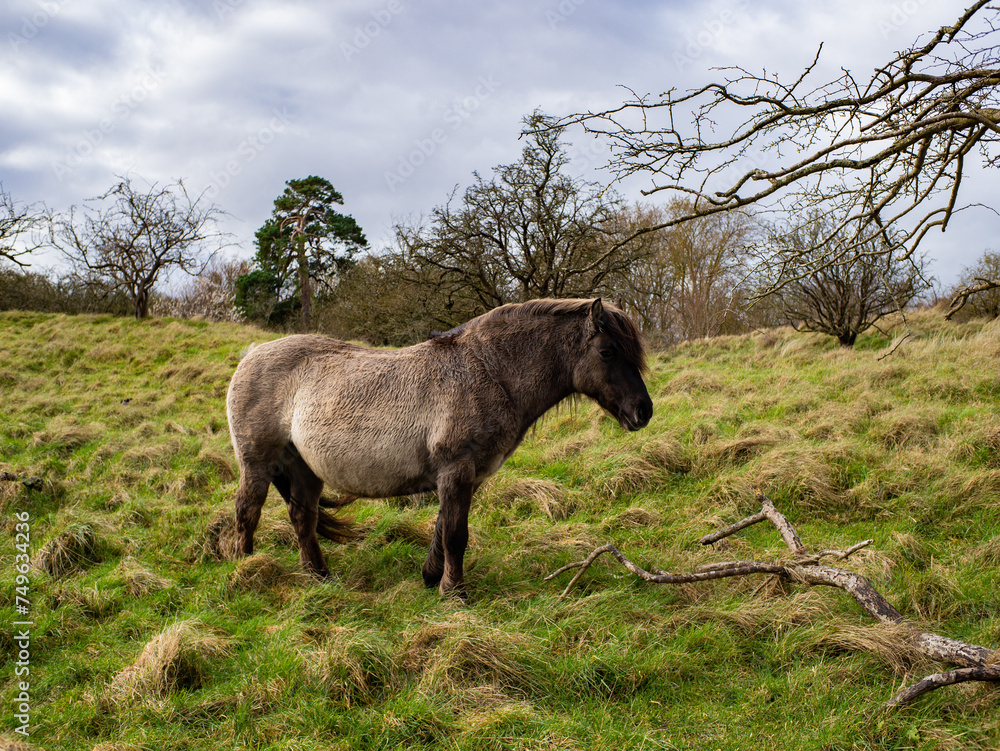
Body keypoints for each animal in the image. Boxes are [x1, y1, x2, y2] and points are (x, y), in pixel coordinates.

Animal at [226, 298, 653, 597]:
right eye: (607, 352)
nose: (643, 411)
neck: (488, 372)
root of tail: (251, 353)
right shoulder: (456, 471)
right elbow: (456, 535)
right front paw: (456, 593)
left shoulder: (463, 477)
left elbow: (442, 529)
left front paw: (431, 577)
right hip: (257, 463)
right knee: (248, 510)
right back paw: (247, 570)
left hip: (304, 467)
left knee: (303, 518)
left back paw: (319, 576)